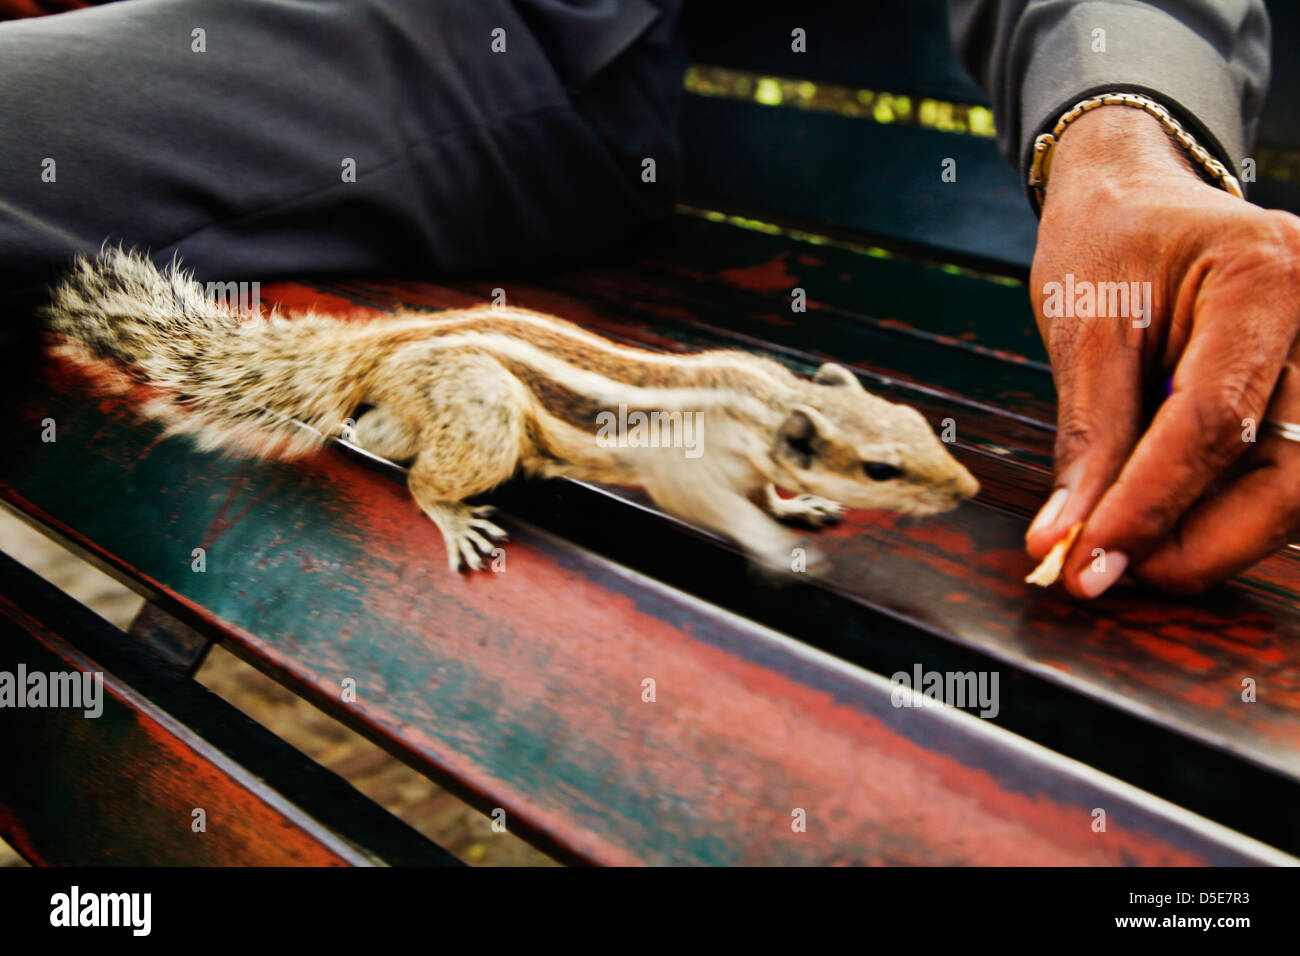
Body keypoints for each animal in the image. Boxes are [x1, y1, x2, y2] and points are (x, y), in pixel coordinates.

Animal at [41, 247, 979, 573]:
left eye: (914, 424)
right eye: (882, 467)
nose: (967, 492)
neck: (765, 400)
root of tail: (385, 345)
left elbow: (769, 491)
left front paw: (800, 504)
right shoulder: (686, 465)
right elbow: (706, 504)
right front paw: (774, 542)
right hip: (482, 414)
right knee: (414, 467)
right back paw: (451, 515)